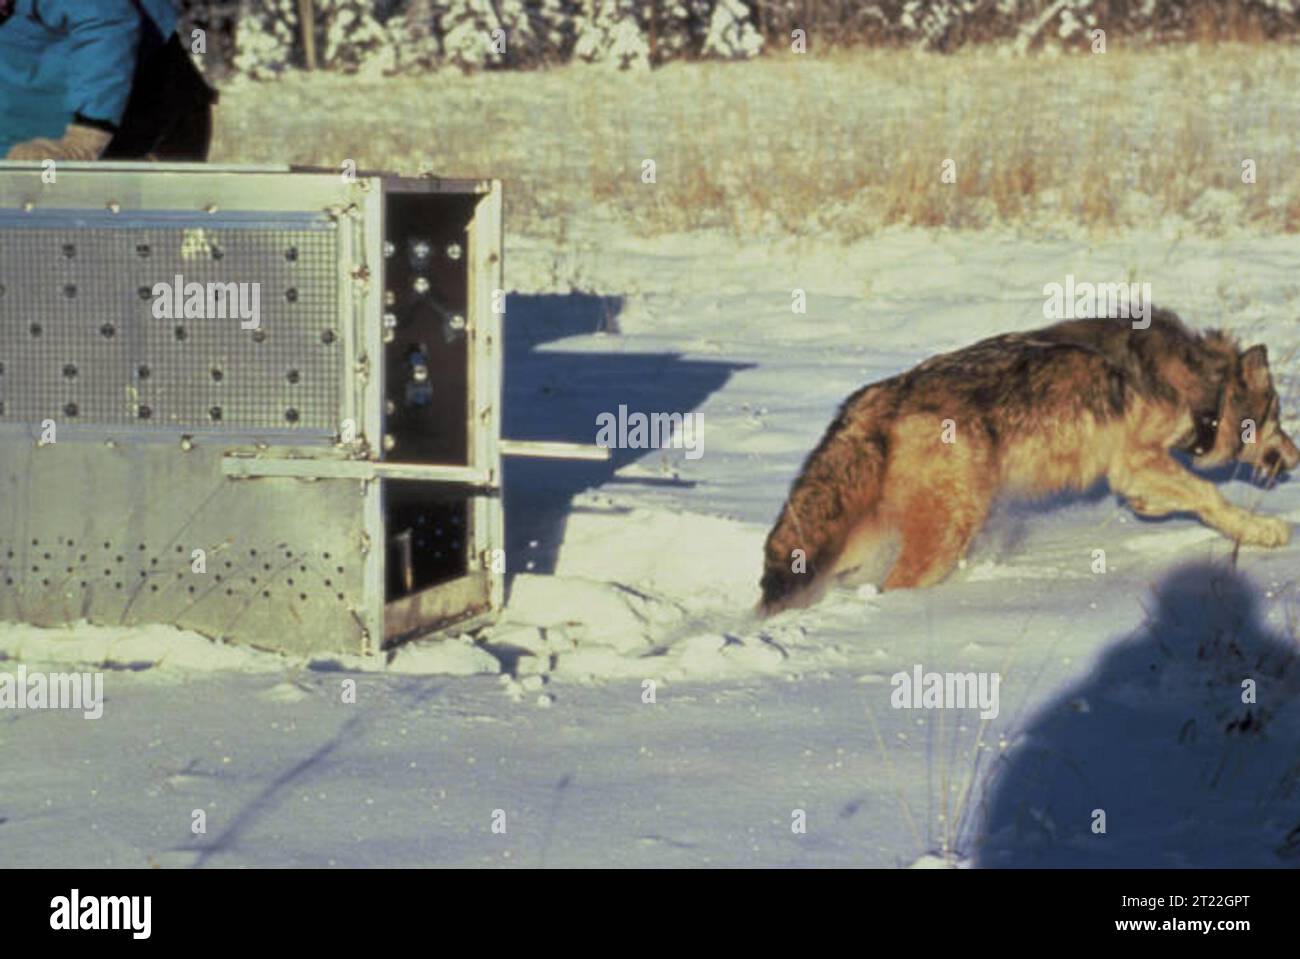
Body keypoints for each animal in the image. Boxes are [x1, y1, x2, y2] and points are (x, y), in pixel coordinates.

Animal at [760, 308, 1298, 614]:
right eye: (1278, 416)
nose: (1296, 455)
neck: (1203, 385)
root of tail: (880, 396)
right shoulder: (1135, 459)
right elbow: (1211, 495)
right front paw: (1266, 531)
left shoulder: (1134, 470)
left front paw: (1152, 509)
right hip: (950, 528)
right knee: (897, 585)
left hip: (856, 540)